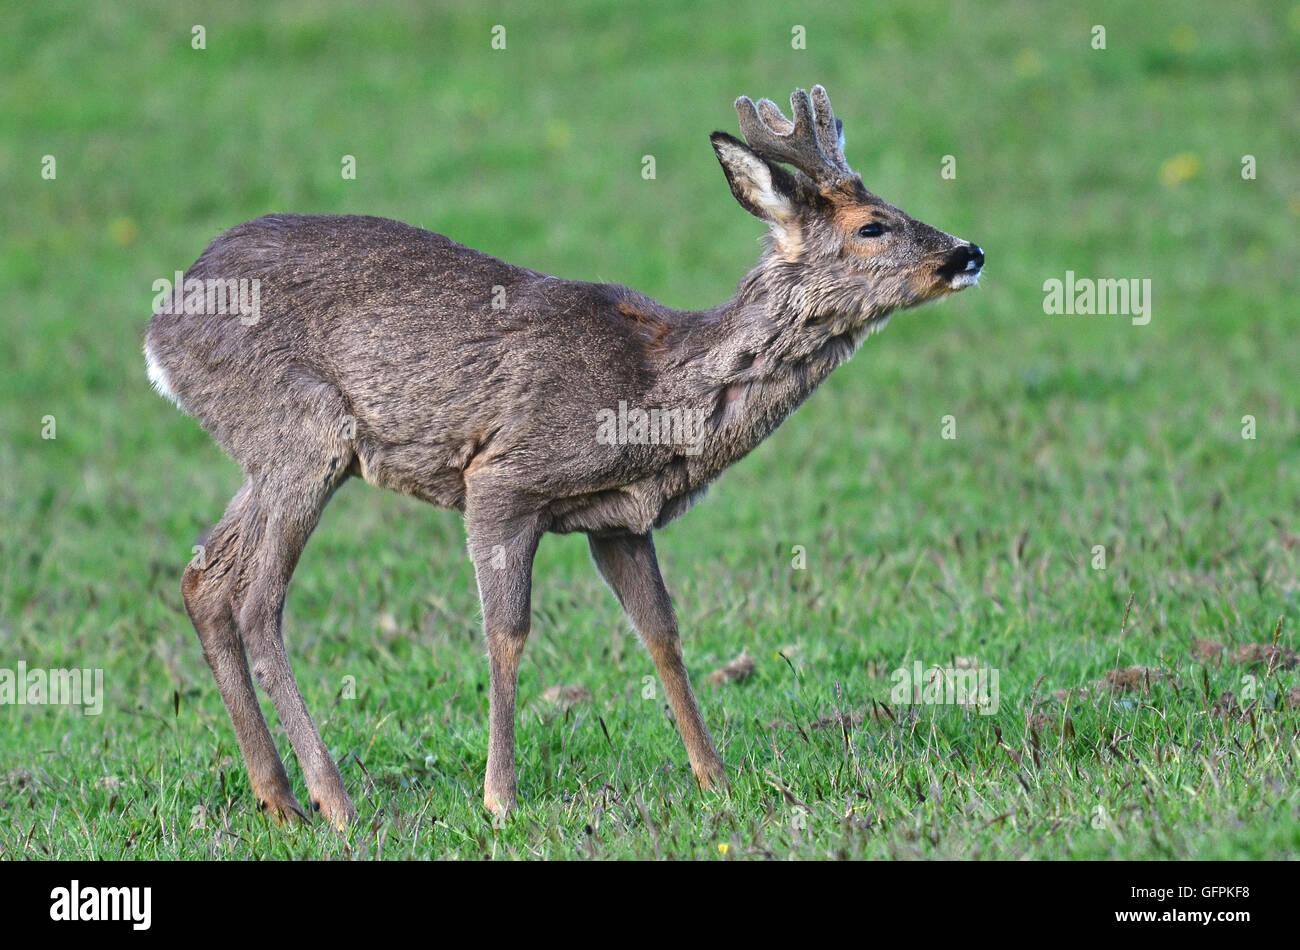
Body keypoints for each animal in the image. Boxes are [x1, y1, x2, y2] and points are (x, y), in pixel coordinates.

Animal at [145, 85, 983, 828]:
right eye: (873, 225)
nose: (969, 251)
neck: (654, 394)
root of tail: (159, 327)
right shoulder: (501, 477)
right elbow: (505, 634)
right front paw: (499, 798)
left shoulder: (619, 520)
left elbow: (662, 633)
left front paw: (714, 778)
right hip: (305, 433)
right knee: (259, 600)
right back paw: (337, 802)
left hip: (271, 453)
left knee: (204, 579)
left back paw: (280, 800)